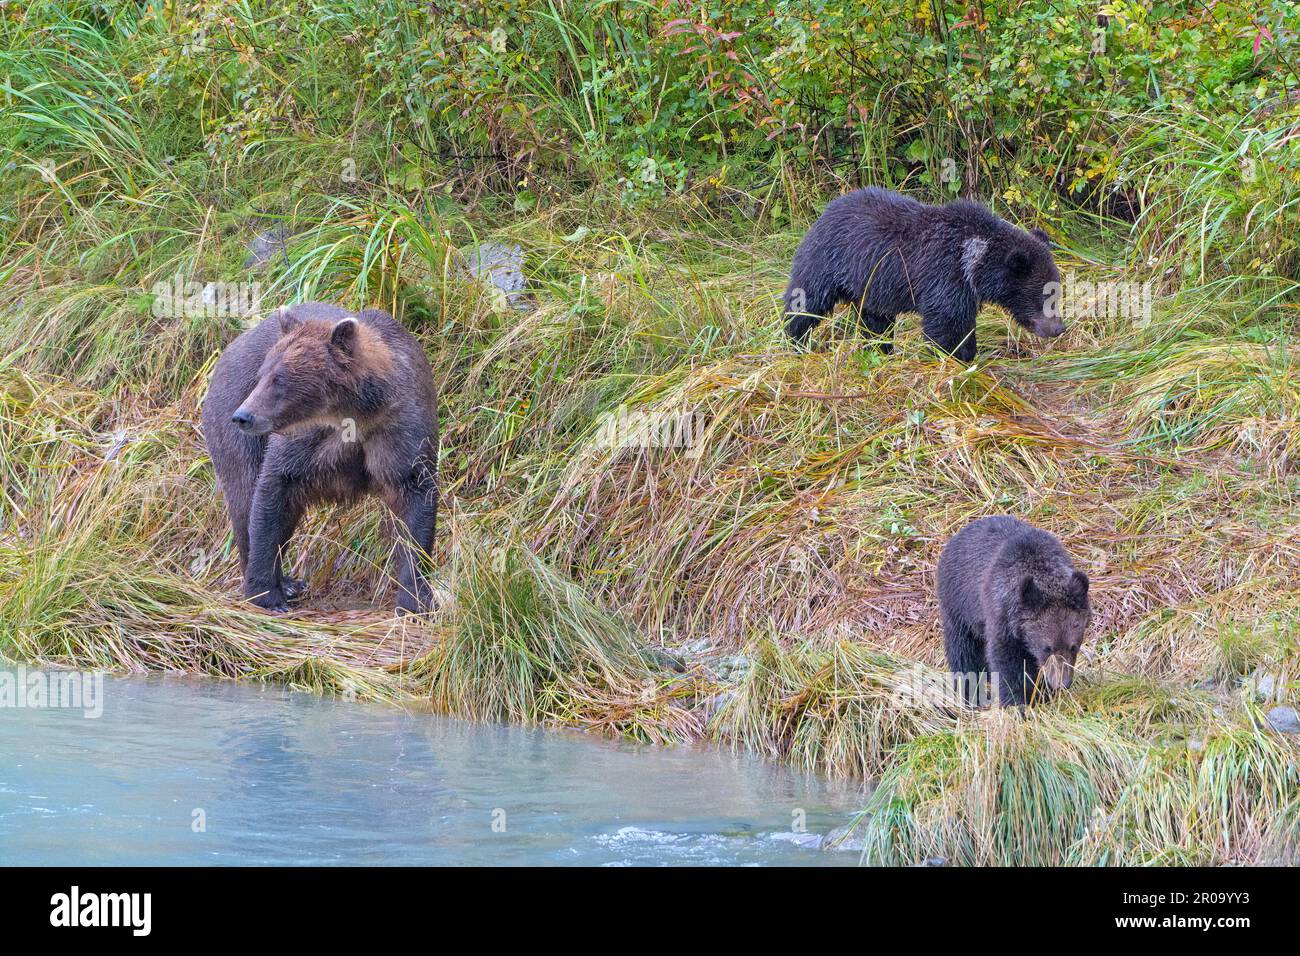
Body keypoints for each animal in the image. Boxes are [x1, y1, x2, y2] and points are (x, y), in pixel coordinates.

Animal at [201, 302, 439, 614]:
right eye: (262, 374)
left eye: (279, 379)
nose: (244, 416)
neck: (355, 415)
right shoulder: (305, 443)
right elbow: (272, 492)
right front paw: (266, 594)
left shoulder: (401, 430)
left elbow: (415, 502)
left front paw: (414, 598)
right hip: (231, 426)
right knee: (243, 493)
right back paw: (284, 581)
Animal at [782, 187, 1064, 360]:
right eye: (1044, 295)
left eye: (1057, 292)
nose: (1059, 328)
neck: (973, 263)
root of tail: (825, 211)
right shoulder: (943, 278)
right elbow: (945, 327)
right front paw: (949, 358)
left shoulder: (965, 293)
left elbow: (963, 327)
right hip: (827, 263)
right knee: (805, 303)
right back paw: (795, 341)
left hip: (870, 286)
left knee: (876, 321)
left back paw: (882, 350)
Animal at [937, 515, 1090, 707]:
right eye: (1047, 648)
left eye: (1074, 646)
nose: (1062, 683)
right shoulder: (1002, 618)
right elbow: (1008, 663)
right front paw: (1021, 698)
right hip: (960, 605)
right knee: (963, 649)